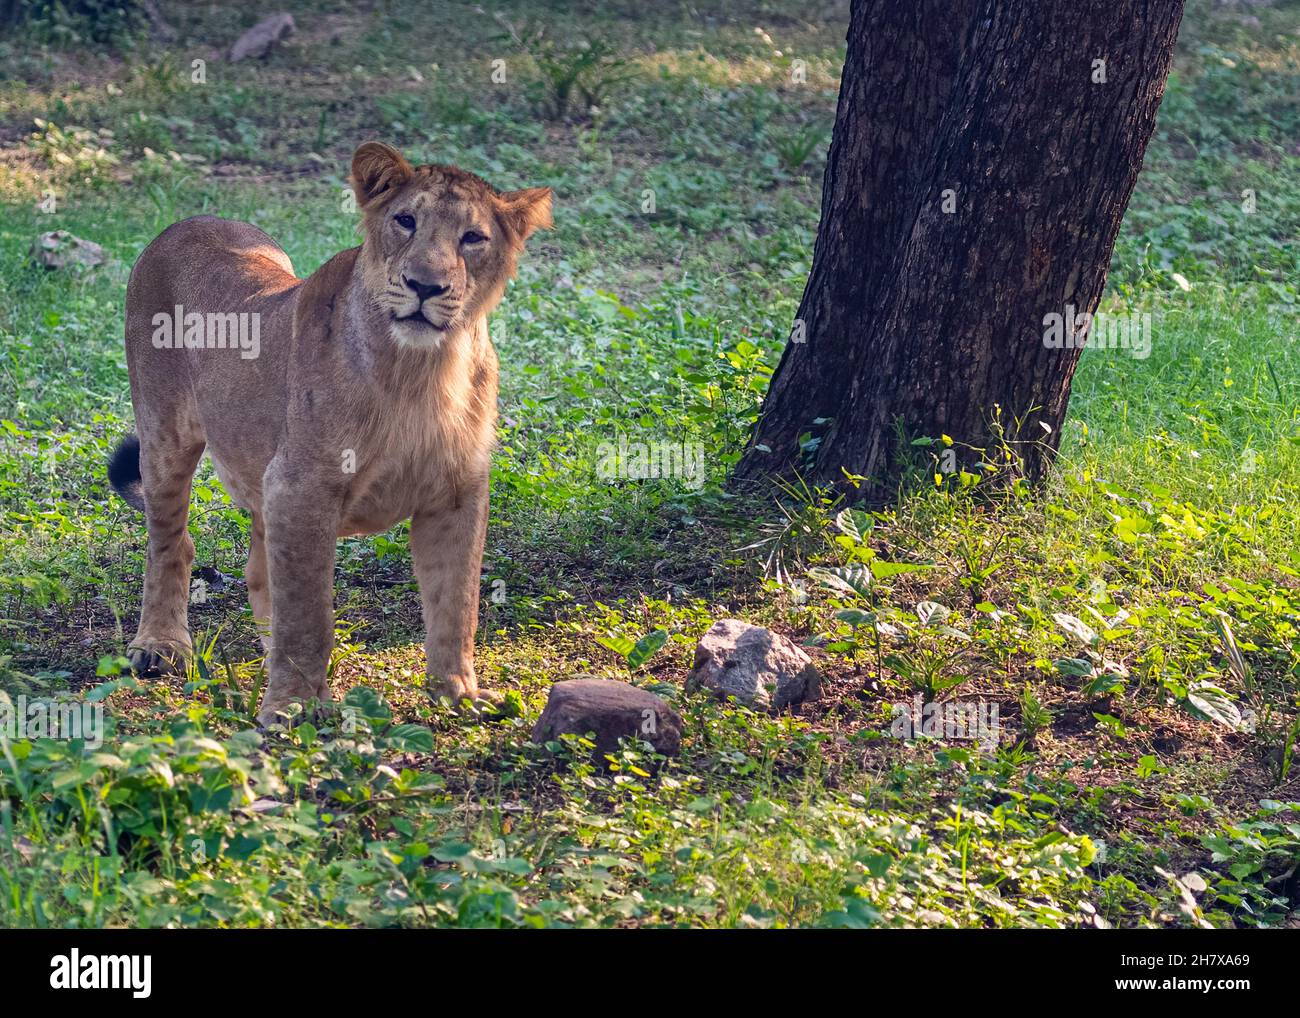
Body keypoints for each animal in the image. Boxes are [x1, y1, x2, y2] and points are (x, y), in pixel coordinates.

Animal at [108, 141, 552, 724]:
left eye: (473, 238)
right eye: (405, 221)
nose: (425, 286)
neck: (423, 371)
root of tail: (190, 221)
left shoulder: (458, 492)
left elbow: (457, 602)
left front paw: (459, 694)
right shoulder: (301, 487)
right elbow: (310, 612)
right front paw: (293, 707)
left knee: (258, 570)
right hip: (164, 437)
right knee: (172, 543)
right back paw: (160, 646)